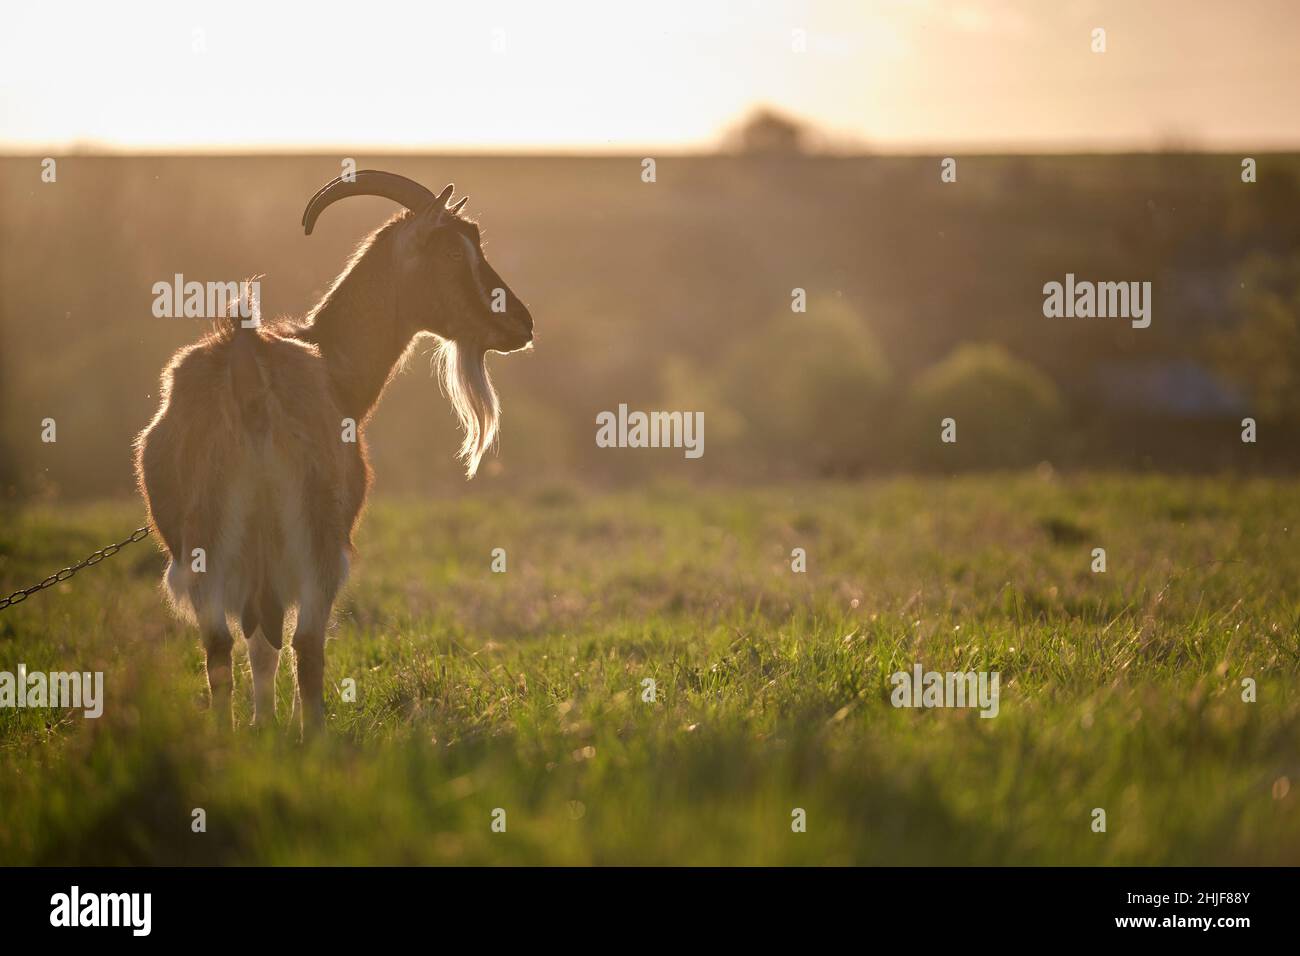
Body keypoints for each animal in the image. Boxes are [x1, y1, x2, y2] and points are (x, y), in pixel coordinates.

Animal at [135, 170, 534, 734]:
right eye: (453, 253)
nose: (522, 324)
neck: (332, 363)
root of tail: (249, 372)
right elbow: (278, 646)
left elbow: (261, 647)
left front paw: (262, 729)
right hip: (319, 538)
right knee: (307, 645)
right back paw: (316, 736)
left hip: (204, 542)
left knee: (220, 650)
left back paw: (226, 737)